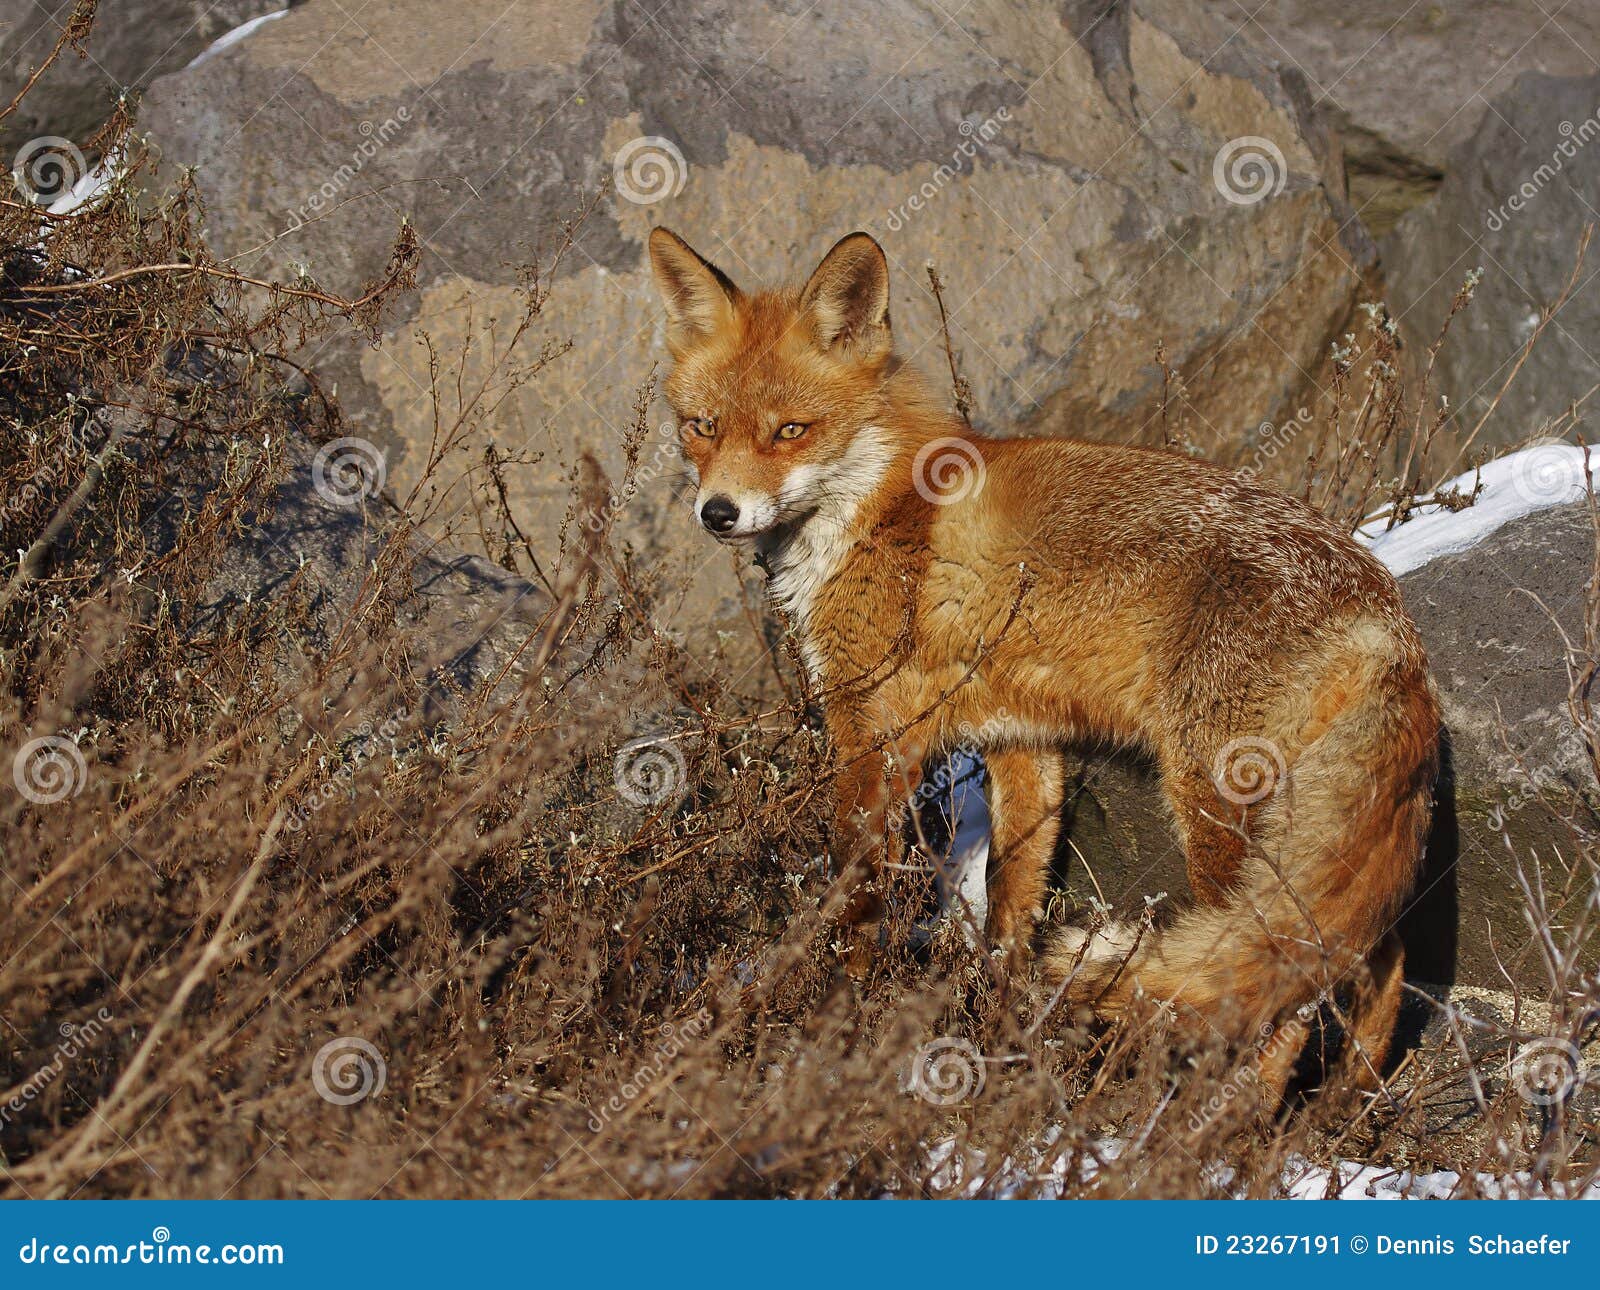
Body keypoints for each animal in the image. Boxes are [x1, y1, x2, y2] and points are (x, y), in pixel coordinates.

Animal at [646, 226, 1441, 1089]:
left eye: (790, 430)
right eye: (702, 426)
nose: (717, 512)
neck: (875, 509)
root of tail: (1381, 607)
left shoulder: (874, 730)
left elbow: (856, 898)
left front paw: (839, 1017)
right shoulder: (1023, 742)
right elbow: (1008, 902)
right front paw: (992, 1027)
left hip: (1221, 810)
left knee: (1288, 989)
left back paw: (1224, 1117)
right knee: (1374, 959)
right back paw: (1348, 1101)